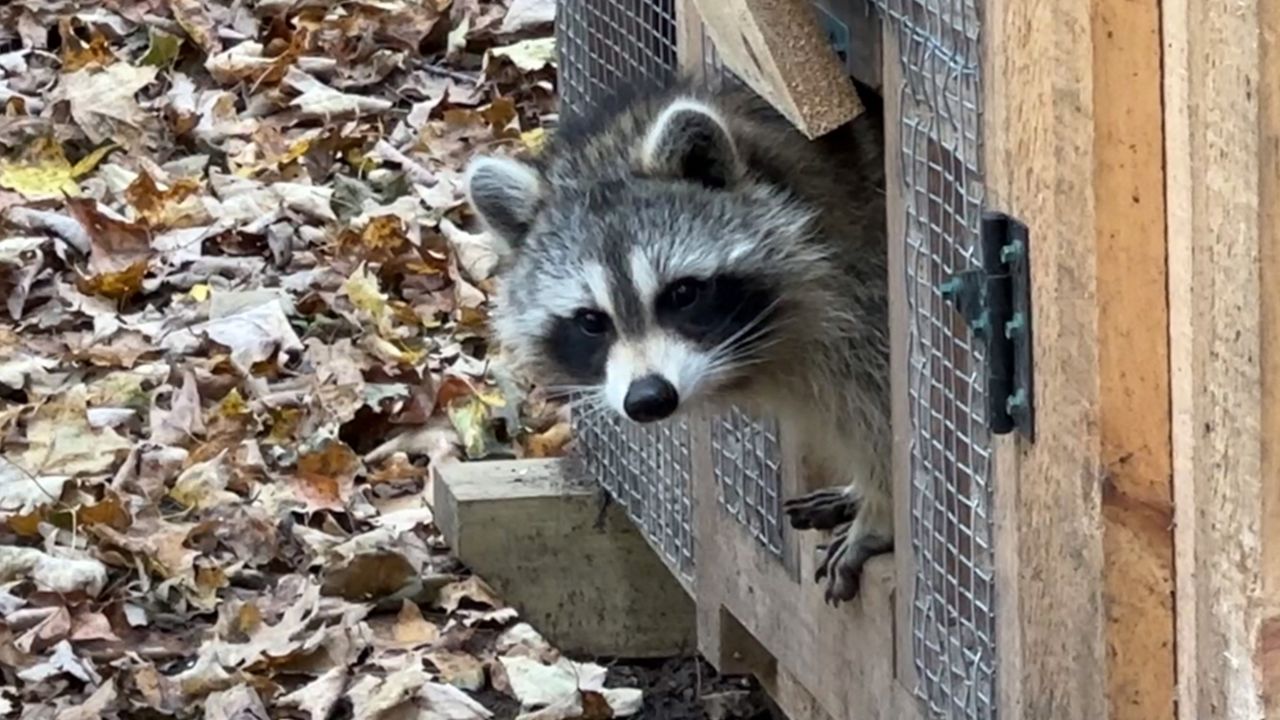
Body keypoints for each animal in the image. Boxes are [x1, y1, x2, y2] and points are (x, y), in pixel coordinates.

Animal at [463, 80, 890, 604]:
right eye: (591, 321)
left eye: (682, 293)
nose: (648, 399)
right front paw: (862, 493)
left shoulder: (867, 298)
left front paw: (878, 512)